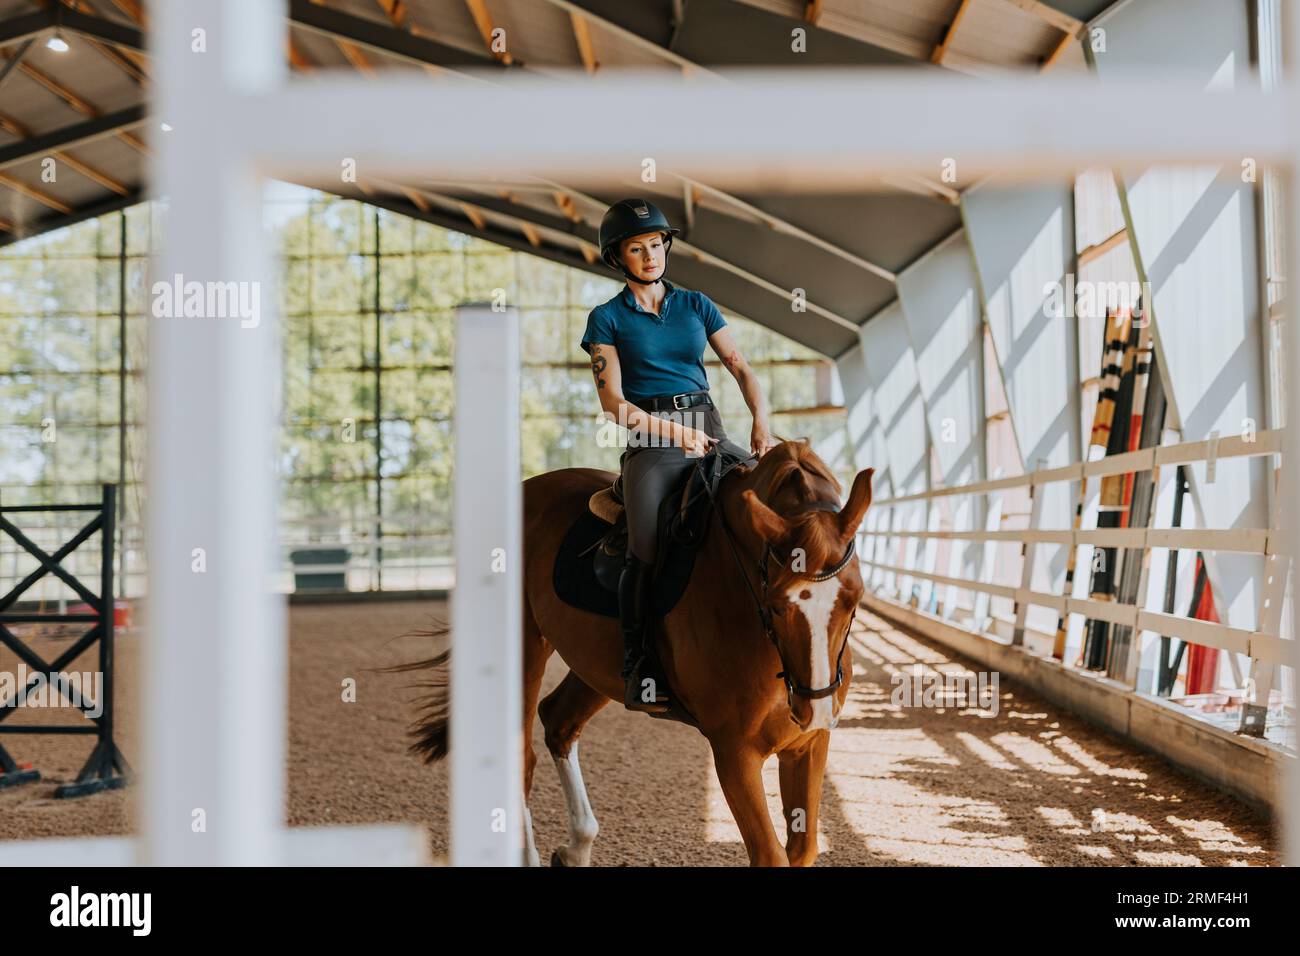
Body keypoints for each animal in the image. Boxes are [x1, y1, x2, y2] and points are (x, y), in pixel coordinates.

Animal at [395, 439, 874, 866]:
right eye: (776, 604)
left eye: (855, 599)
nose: (813, 709)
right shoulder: (734, 750)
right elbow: (771, 855)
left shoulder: (809, 744)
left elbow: (803, 848)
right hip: (523, 647)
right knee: (521, 756)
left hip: (595, 666)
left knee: (559, 721)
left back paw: (577, 848)